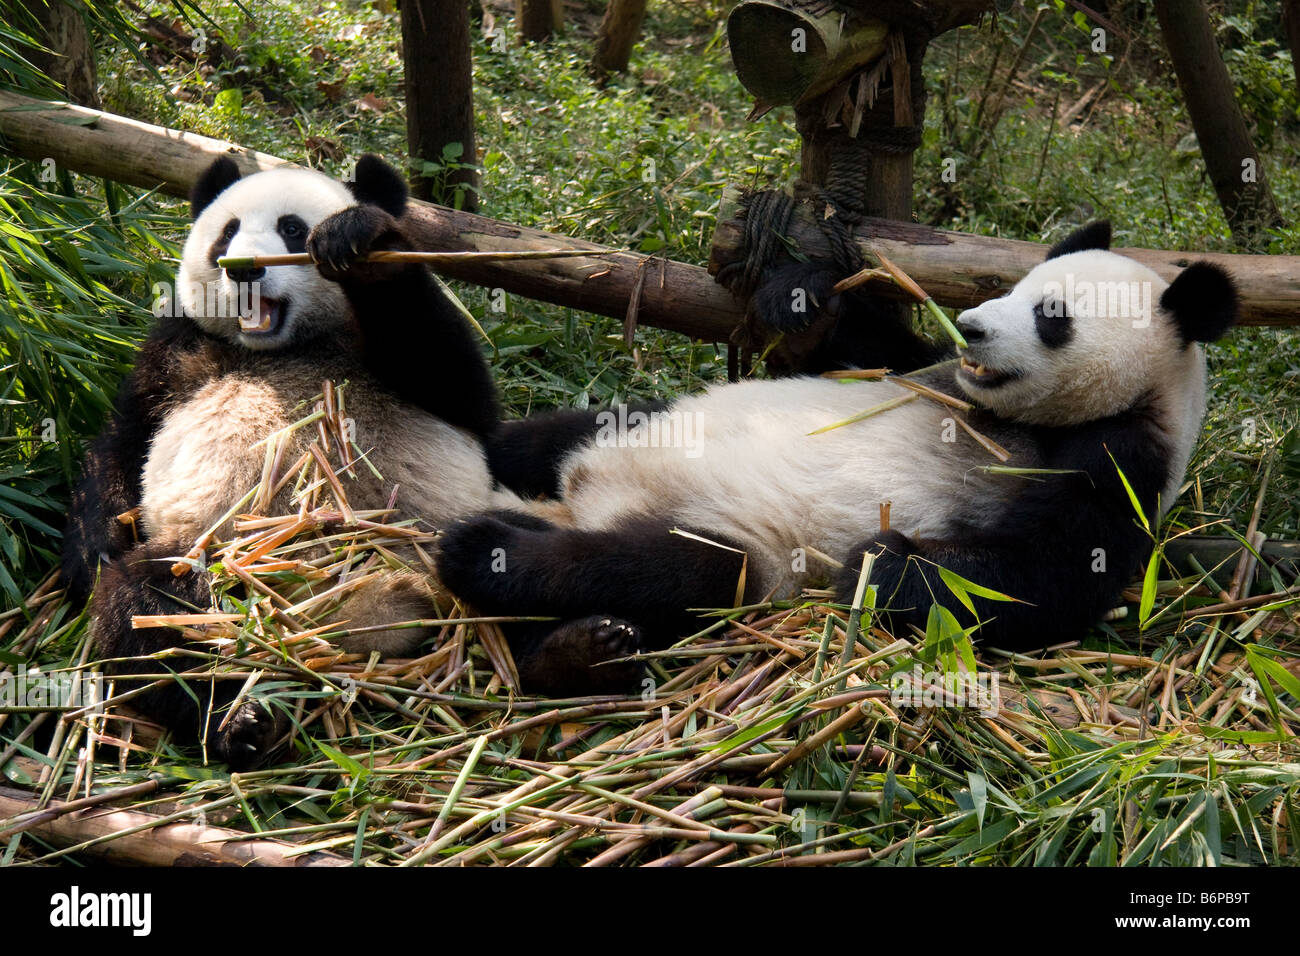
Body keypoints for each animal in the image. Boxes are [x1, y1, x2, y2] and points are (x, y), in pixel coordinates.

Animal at [62, 154, 533, 768]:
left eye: (291, 229)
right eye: (228, 232)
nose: (243, 270)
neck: (288, 345)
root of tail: (351, 625)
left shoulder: (418, 357)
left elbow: (458, 386)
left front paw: (354, 238)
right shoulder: (179, 346)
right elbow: (126, 441)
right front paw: (97, 546)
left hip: (437, 544)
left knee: (517, 558)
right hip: (214, 564)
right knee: (148, 613)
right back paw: (243, 722)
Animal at [437, 222, 1240, 688]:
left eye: (1052, 317)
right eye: (1012, 288)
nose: (974, 328)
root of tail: (579, 499)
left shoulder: (1121, 457)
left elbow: (1050, 575)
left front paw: (881, 562)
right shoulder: (928, 377)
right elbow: (868, 351)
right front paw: (801, 294)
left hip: (737, 544)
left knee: (669, 567)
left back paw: (505, 571)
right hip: (631, 424)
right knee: (538, 441)